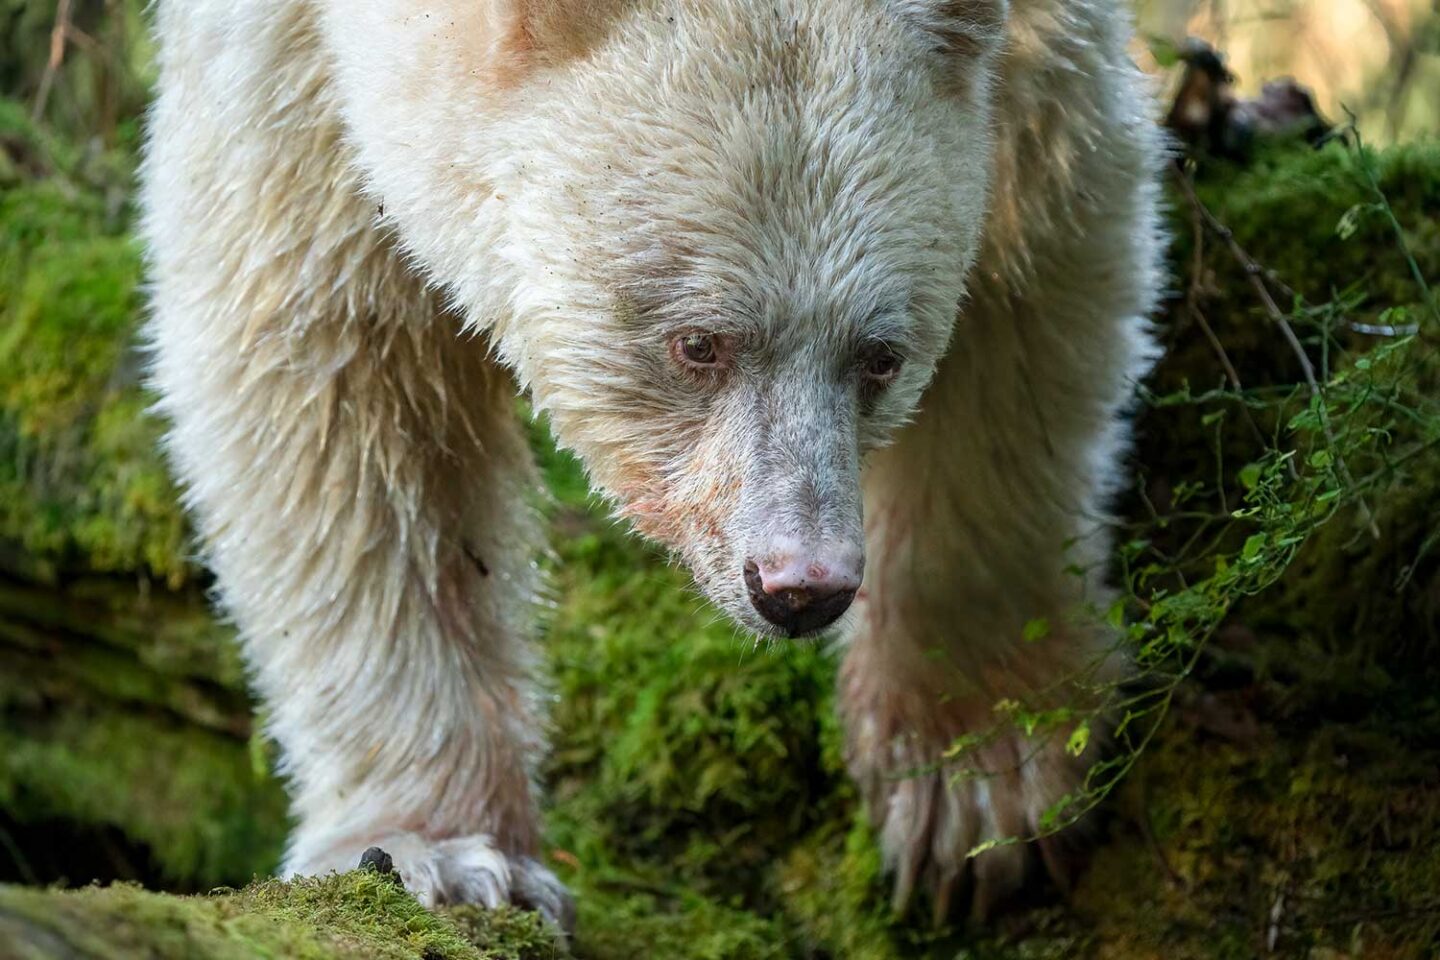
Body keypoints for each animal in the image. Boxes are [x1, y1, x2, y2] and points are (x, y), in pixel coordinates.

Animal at [140, 0, 1163, 930]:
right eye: (697, 343)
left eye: (880, 356)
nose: (800, 585)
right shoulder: (274, 57)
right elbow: (329, 368)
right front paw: (445, 853)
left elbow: (1040, 246)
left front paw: (977, 778)